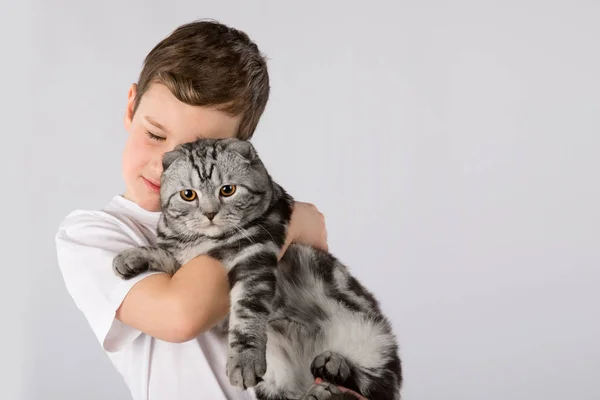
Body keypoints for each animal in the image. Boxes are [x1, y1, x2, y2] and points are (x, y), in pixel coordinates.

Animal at [112, 138, 404, 400]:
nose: (210, 213)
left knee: (373, 387)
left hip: (374, 341)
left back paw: (333, 371)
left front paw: (244, 362)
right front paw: (132, 256)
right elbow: (161, 252)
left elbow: (246, 317)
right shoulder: (185, 264)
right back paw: (322, 385)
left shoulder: (254, 257)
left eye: (227, 190)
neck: (204, 243)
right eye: (188, 195)